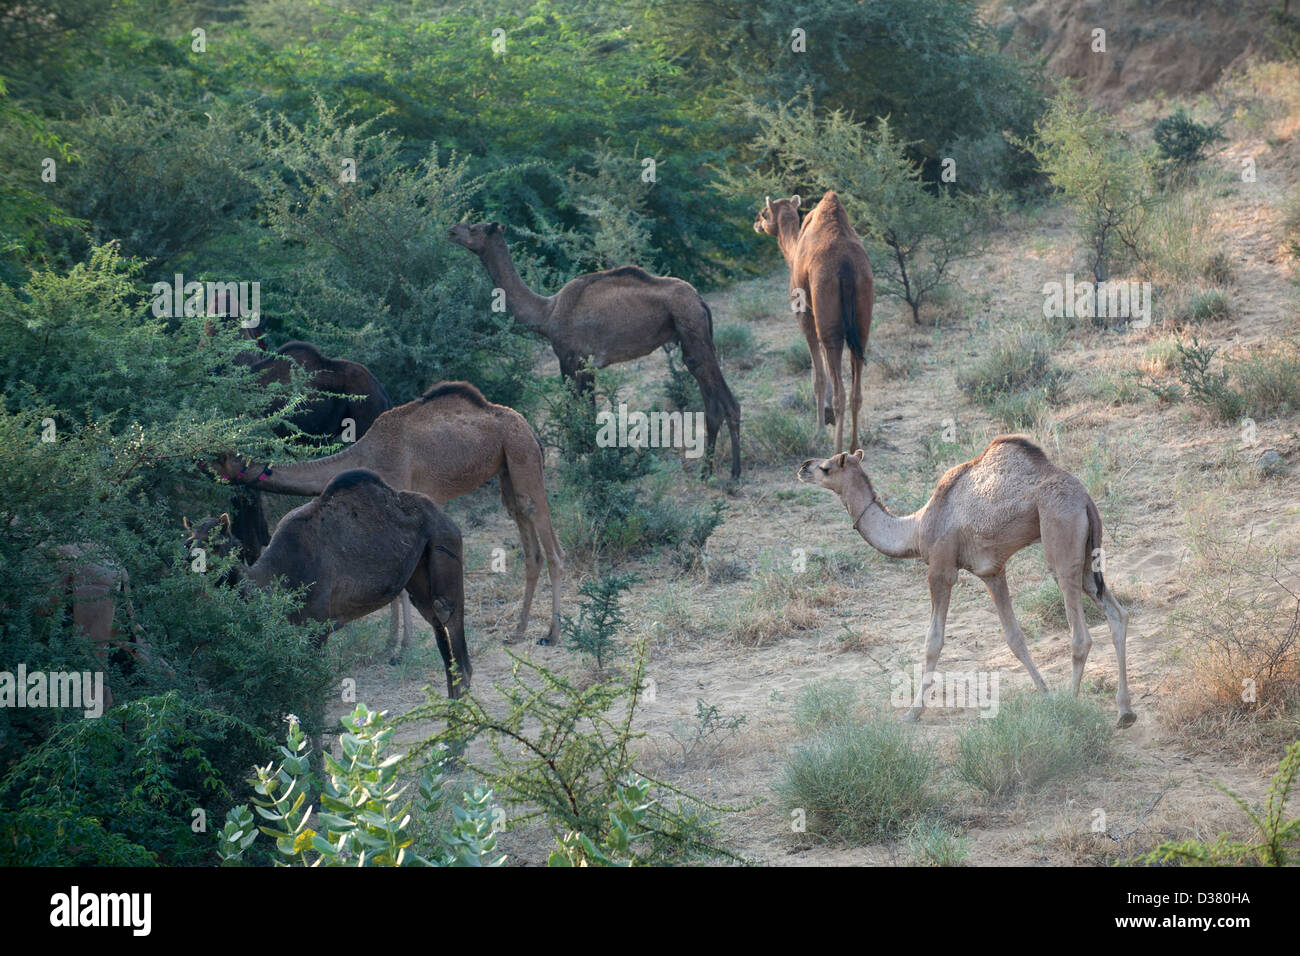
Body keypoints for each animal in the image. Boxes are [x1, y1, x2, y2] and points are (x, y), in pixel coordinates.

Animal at [211, 381, 565, 645]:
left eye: (220, 458)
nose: (201, 460)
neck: (364, 454)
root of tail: (528, 427)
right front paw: (393, 643)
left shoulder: (396, 494)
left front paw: (400, 646)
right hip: (507, 472)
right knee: (529, 543)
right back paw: (518, 631)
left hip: (522, 456)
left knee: (552, 548)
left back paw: (551, 635)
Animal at [448, 221, 742, 479]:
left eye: (474, 227)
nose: (452, 230)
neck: (546, 313)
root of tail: (700, 301)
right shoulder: (588, 365)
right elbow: (588, 414)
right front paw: (593, 462)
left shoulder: (570, 359)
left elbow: (574, 412)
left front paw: (577, 466)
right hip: (690, 340)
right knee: (709, 400)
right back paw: (705, 472)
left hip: (693, 328)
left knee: (729, 402)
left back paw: (734, 475)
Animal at [754, 191, 874, 454]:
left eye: (764, 213)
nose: (756, 223)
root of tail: (846, 266)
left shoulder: (804, 312)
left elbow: (816, 375)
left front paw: (819, 430)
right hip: (862, 318)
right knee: (856, 389)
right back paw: (854, 446)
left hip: (827, 314)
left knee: (841, 391)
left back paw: (837, 451)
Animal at [796, 436, 1135, 728]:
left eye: (827, 467)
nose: (804, 466)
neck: (916, 528)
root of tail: (1086, 500)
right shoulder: (992, 572)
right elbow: (1015, 638)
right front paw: (1046, 694)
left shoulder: (941, 568)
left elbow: (933, 642)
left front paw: (912, 712)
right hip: (1088, 559)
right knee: (1117, 614)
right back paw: (1124, 712)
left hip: (1060, 539)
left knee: (1080, 634)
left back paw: (1071, 707)